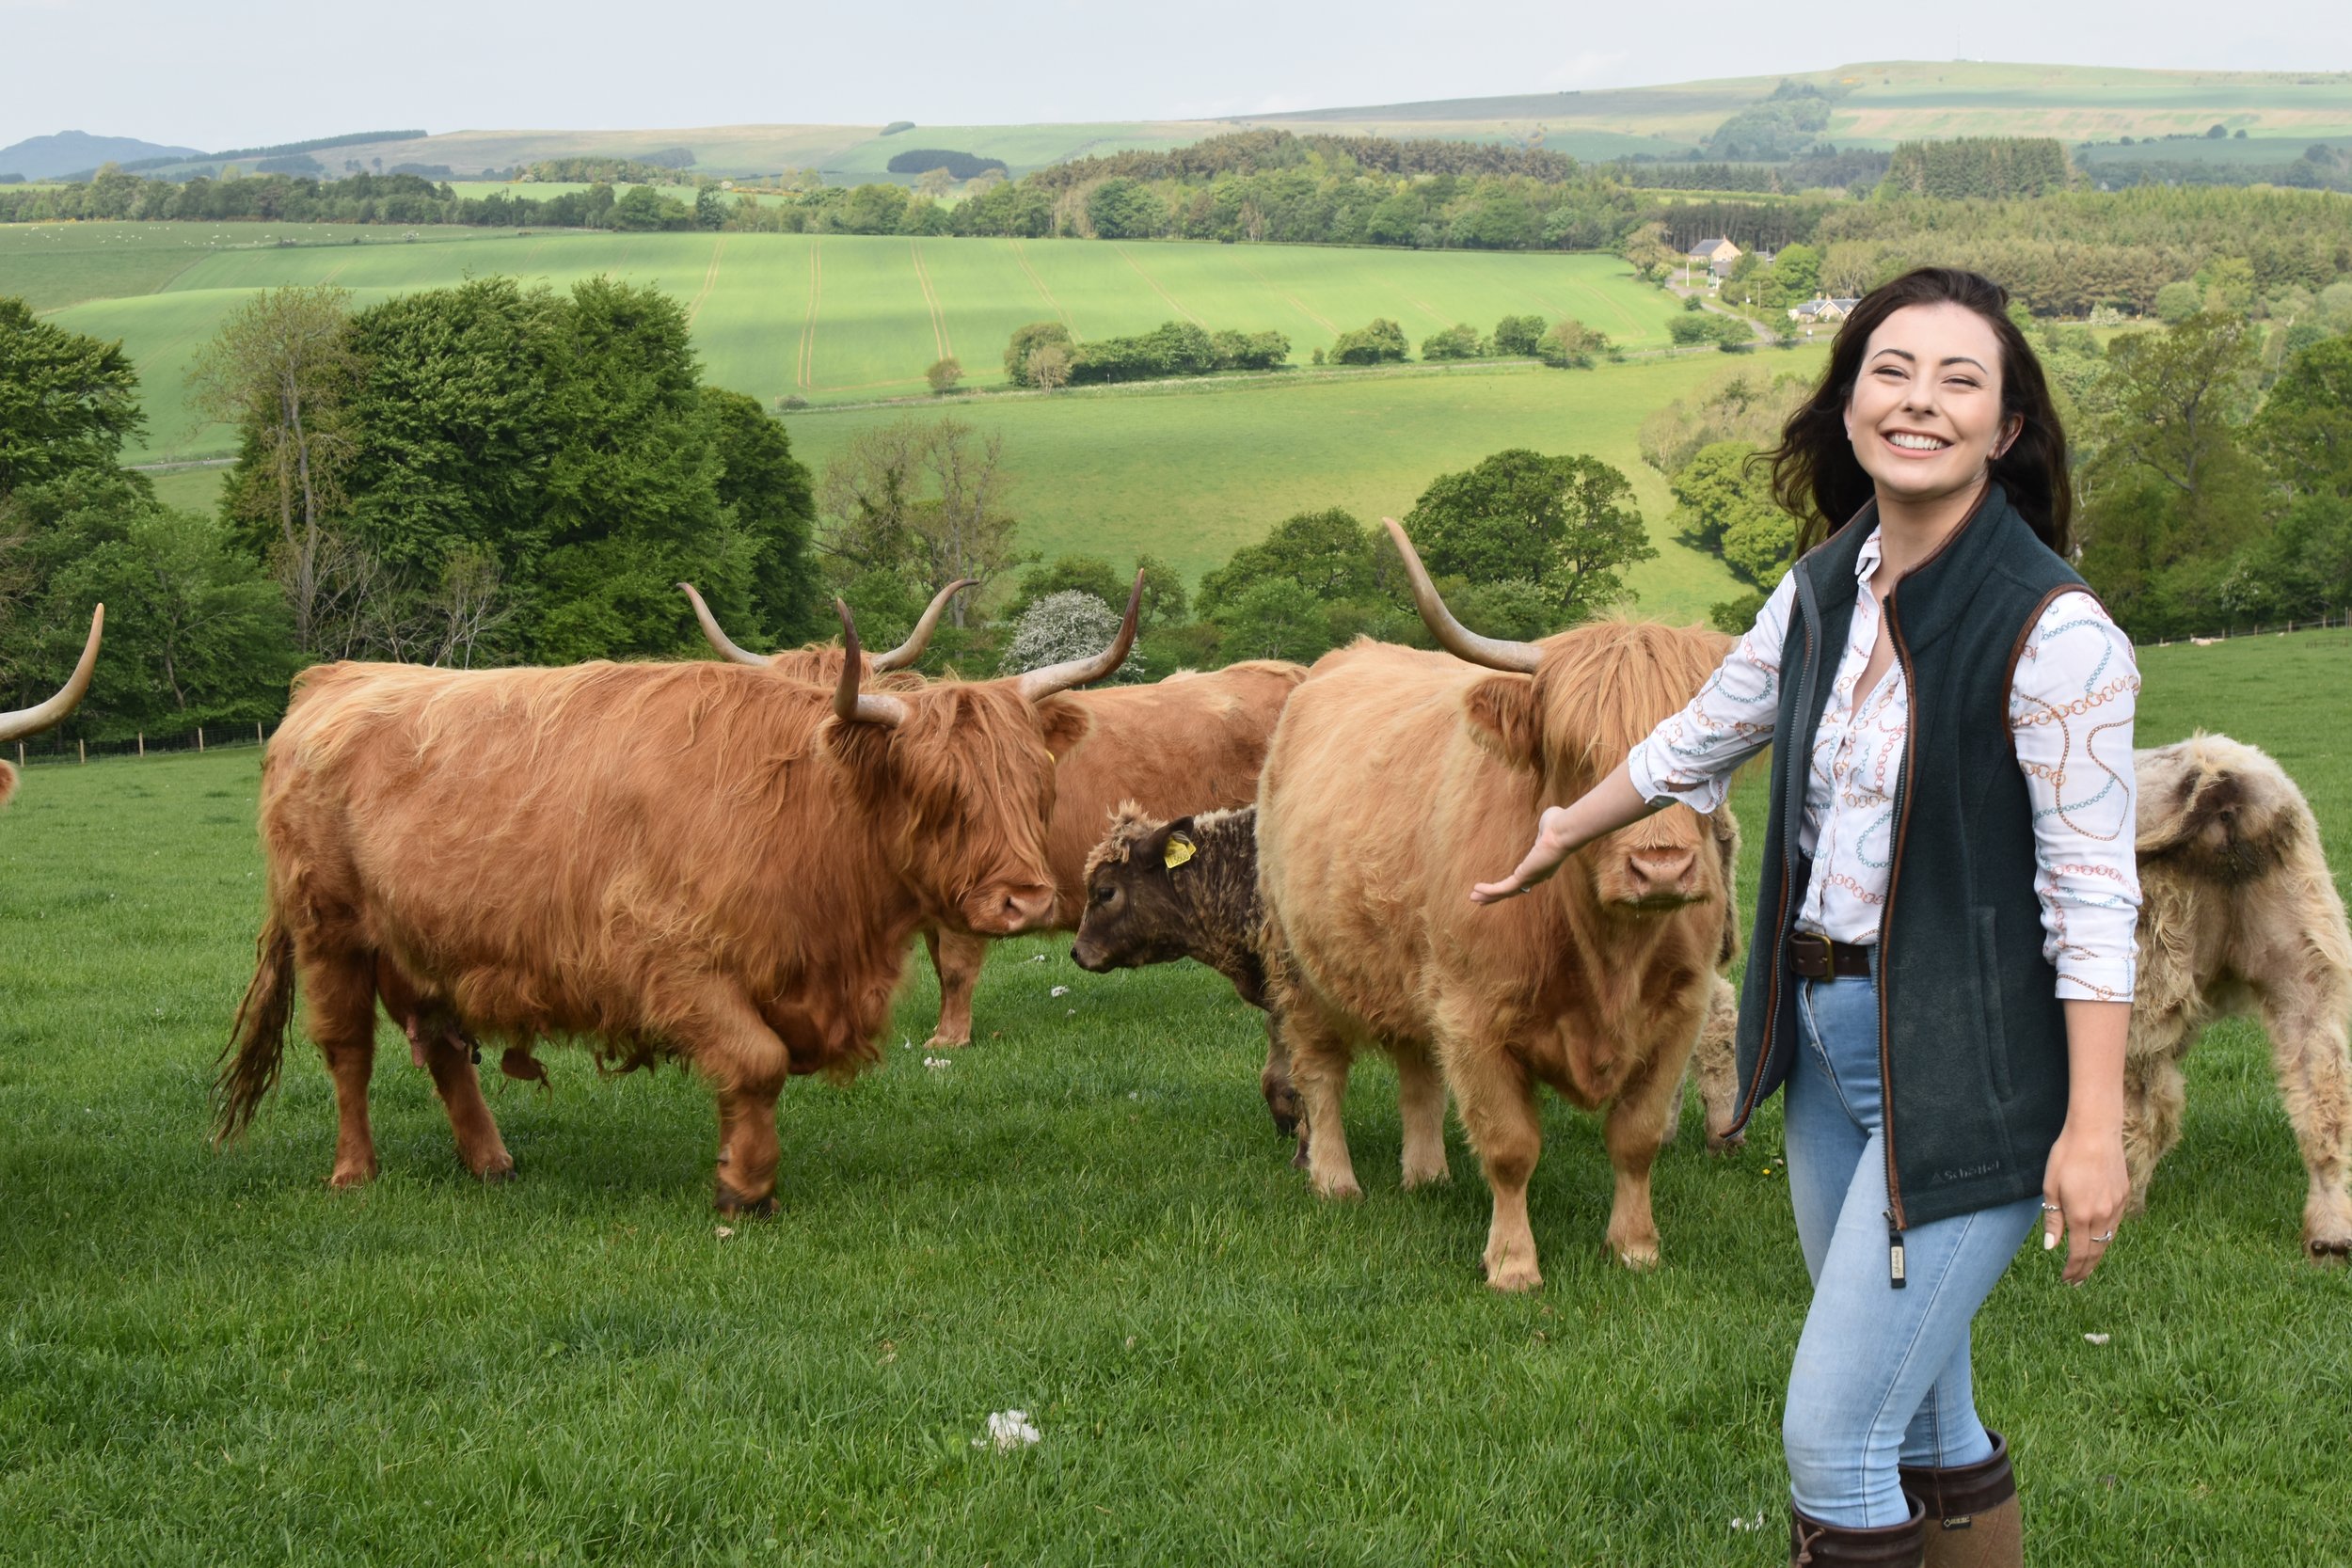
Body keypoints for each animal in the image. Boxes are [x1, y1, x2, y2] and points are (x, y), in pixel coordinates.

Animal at [214, 592, 1138, 1212]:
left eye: (1035, 783)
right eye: (939, 792)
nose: (1025, 900)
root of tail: (338, 675)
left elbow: (752, 1071)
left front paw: (738, 1168)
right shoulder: (667, 959)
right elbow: (756, 1061)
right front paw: (745, 1188)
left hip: (427, 939)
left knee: (442, 1045)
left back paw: (491, 1161)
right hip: (330, 929)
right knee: (347, 1050)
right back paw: (354, 1171)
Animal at [1261, 524, 1740, 1288]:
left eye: (1705, 759)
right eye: (1580, 753)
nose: (1661, 867)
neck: (1607, 950)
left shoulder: (1681, 1010)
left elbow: (1635, 1138)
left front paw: (1636, 1247)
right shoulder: (1473, 1012)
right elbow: (1511, 1146)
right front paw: (1514, 1263)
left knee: (1417, 1069)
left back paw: (1426, 1174)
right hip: (1298, 962)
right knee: (1321, 1067)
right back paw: (1335, 1180)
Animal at [2136, 737, 2352, 1259]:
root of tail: (2217, 777)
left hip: (2148, 966)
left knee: (2146, 1104)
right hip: (2304, 965)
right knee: (2325, 1095)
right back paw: (2330, 1234)